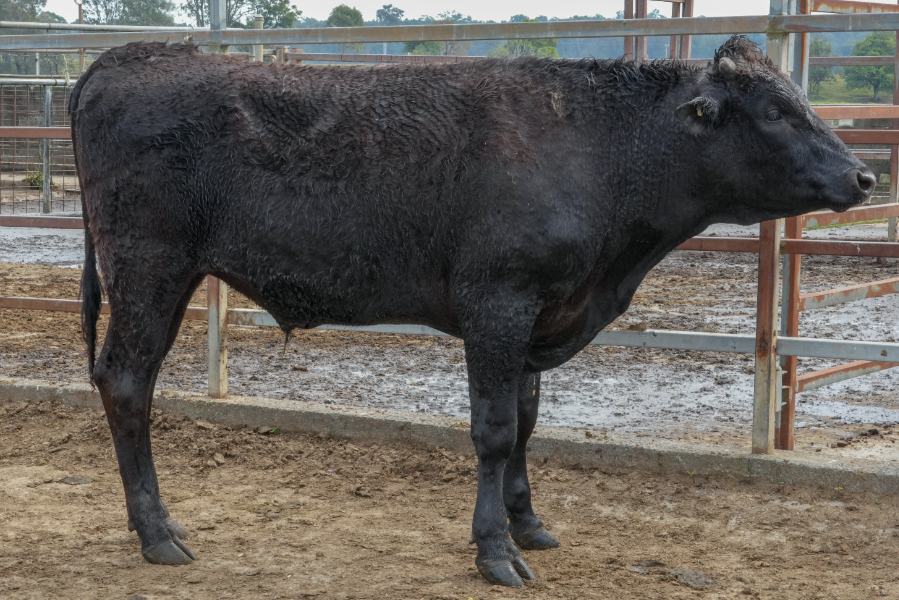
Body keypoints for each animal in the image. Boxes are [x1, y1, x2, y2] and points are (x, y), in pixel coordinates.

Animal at [71, 35, 875, 586]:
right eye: (774, 112)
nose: (863, 176)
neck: (602, 151)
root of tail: (135, 56)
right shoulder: (498, 303)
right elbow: (492, 431)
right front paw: (494, 550)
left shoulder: (539, 317)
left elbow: (526, 421)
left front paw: (528, 524)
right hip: (149, 267)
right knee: (126, 383)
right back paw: (158, 533)